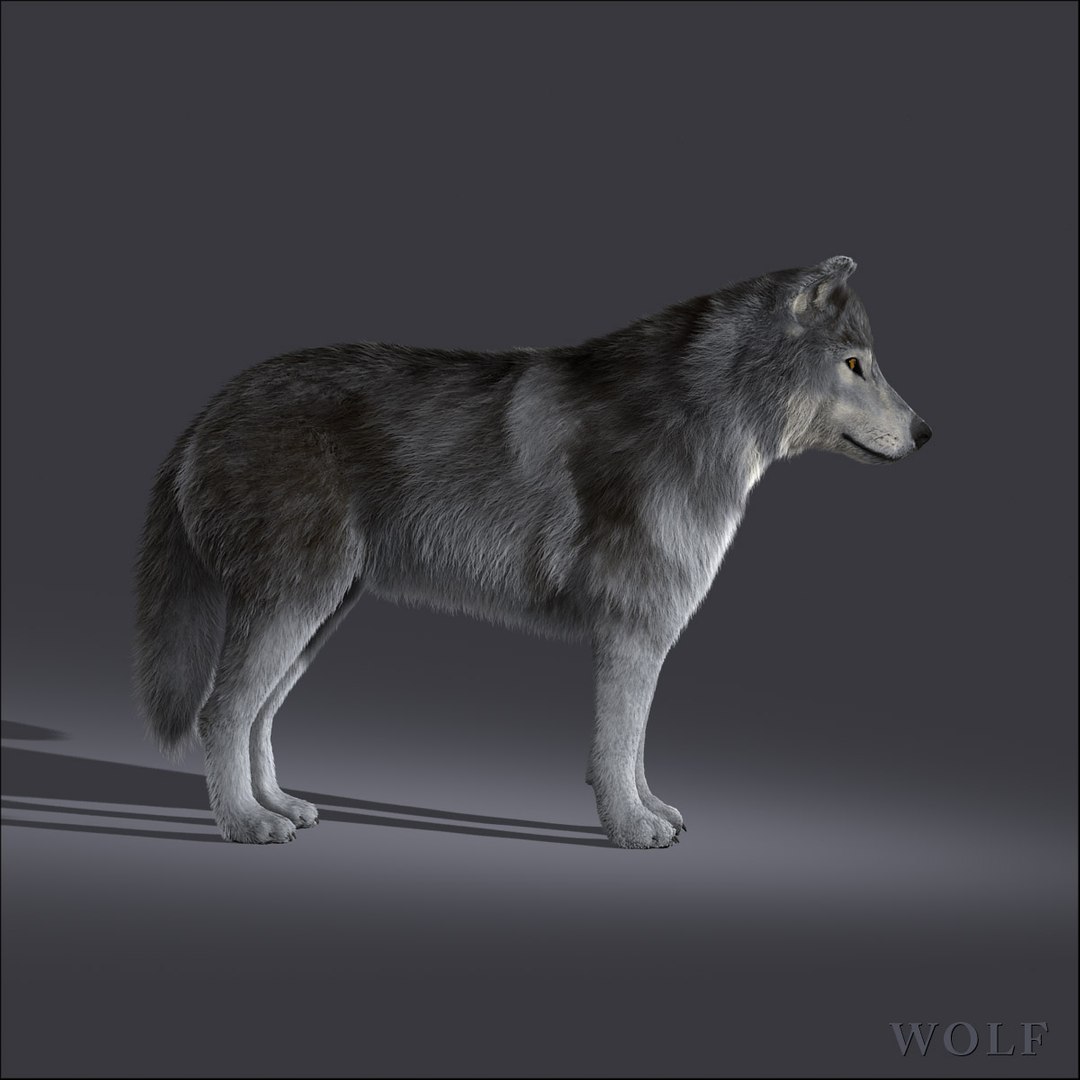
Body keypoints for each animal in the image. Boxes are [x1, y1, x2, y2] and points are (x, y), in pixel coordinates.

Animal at [134, 255, 931, 848]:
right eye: (855, 364)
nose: (927, 433)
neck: (701, 414)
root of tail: (209, 410)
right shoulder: (632, 630)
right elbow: (617, 744)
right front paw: (630, 828)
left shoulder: (643, 635)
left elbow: (634, 745)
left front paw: (650, 810)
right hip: (296, 604)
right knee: (222, 712)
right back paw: (245, 823)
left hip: (319, 614)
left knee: (259, 714)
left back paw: (278, 805)